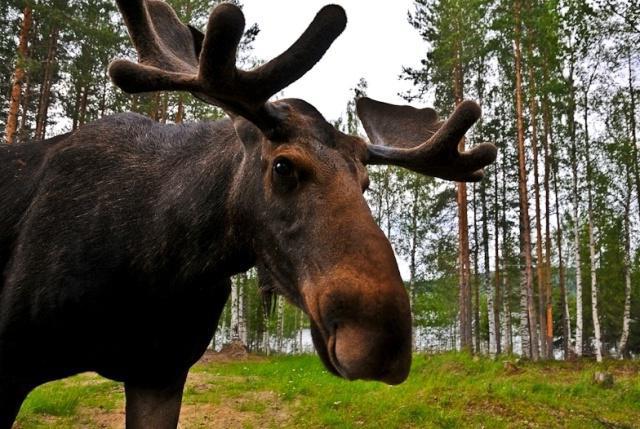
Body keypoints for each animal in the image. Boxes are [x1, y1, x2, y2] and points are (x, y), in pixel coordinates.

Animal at [0, 0, 498, 424]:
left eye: (366, 183)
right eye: (283, 166)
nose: (384, 343)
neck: (162, 264)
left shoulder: (161, 373)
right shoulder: (13, 363)